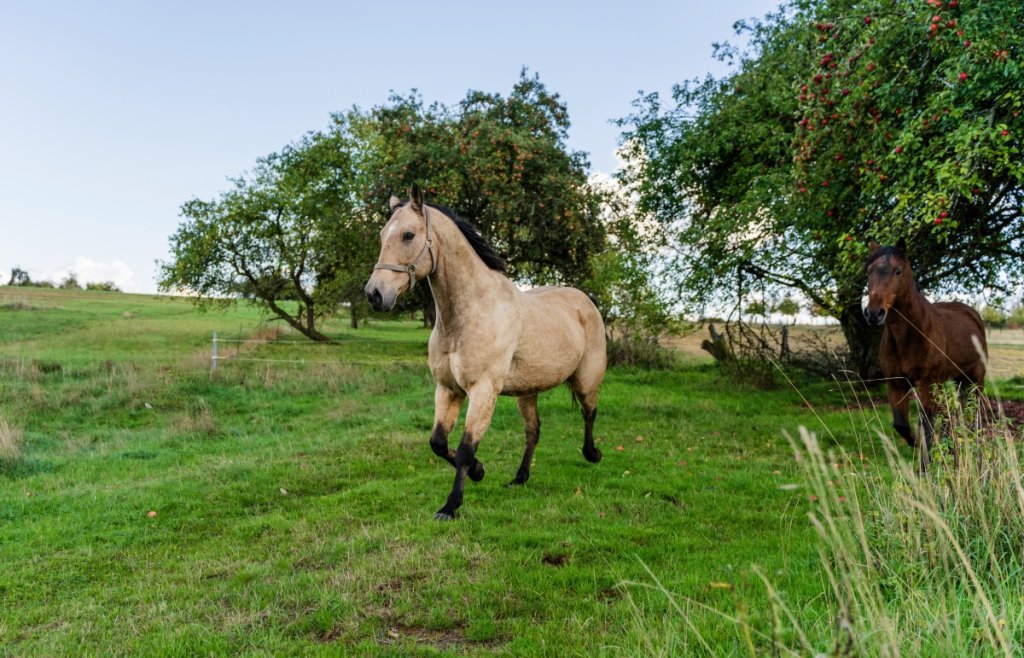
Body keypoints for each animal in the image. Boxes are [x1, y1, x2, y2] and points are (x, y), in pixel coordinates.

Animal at [364, 184, 607, 520]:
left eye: (408, 235)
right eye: (381, 235)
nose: (375, 294)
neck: (467, 315)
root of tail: (586, 301)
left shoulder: (483, 390)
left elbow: (466, 448)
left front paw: (450, 506)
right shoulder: (448, 389)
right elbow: (438, 442)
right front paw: (479, 472)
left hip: (585, 381)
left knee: (589, 412)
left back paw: (592, 454)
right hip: (526, 392)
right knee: (533, 431)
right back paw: (519, 478)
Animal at [863, 241, 987, 470]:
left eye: (897, 271)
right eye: (869, 271)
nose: (874, 313)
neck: (911, 334)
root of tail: (973, 314)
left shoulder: (925, 382)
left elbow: (928, 423)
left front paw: (925, 466)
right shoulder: (896, 383)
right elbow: (902, 424)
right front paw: (916, 444)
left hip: (974, 380)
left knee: (974, 416)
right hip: (950, 381)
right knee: (948, 415)